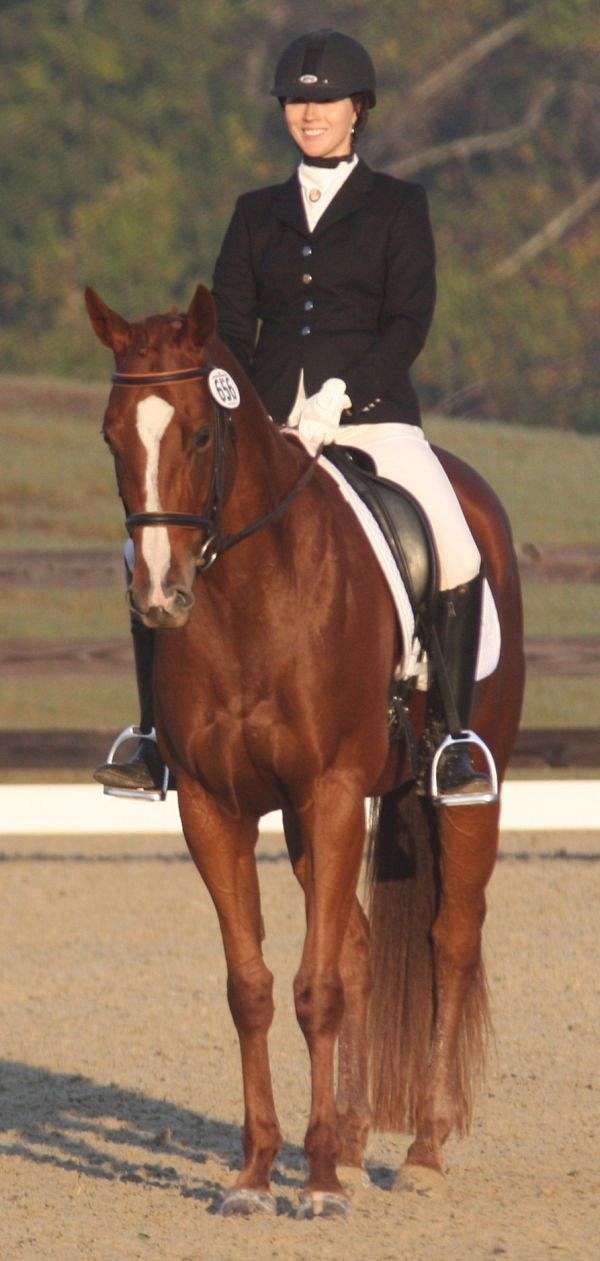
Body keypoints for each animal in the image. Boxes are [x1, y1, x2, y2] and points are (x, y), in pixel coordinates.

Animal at [85, 282, 525, 1218]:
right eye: (111, 434)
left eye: (199, 433)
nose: (159, 595)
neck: (248, 598)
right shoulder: (216, 806)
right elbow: (252, 987)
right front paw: (257, 1173)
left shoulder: (330, 789)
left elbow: (314, 989)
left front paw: (316, 1184)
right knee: (356, 945)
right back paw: (355, 1143)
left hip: (465, 790)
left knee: (450, 938)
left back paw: (421, 1151)